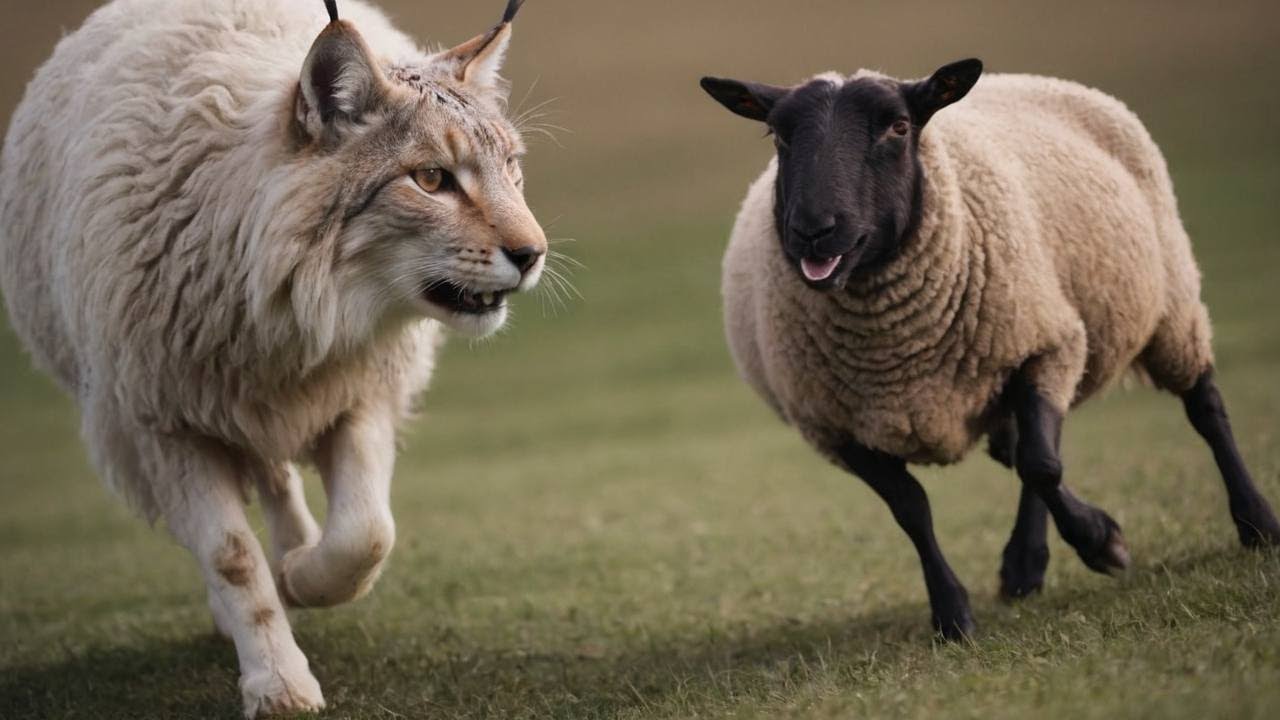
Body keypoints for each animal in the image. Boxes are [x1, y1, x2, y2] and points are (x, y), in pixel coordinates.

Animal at [0, 0, 545, 715]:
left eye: (512, 167)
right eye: (431, 178)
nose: (534, 254)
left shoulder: (360, 389)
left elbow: (367, 532)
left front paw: (302, 576)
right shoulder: (160, 418)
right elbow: (231, 553)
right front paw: (277, 678)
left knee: (280, 480)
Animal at [701, 60, 1280, 639]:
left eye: (898, 127)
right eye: (778, 134)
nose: (813, 231)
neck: (894, 347)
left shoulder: (1049, 344)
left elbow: (1042, 466)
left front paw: (1102, 542)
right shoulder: (833, 428)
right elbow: (913, 508)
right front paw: (952, 614)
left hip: (1170, 302)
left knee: (1203, 408)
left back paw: (1256, 524)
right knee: (1018, 448)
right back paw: (1024, 567)